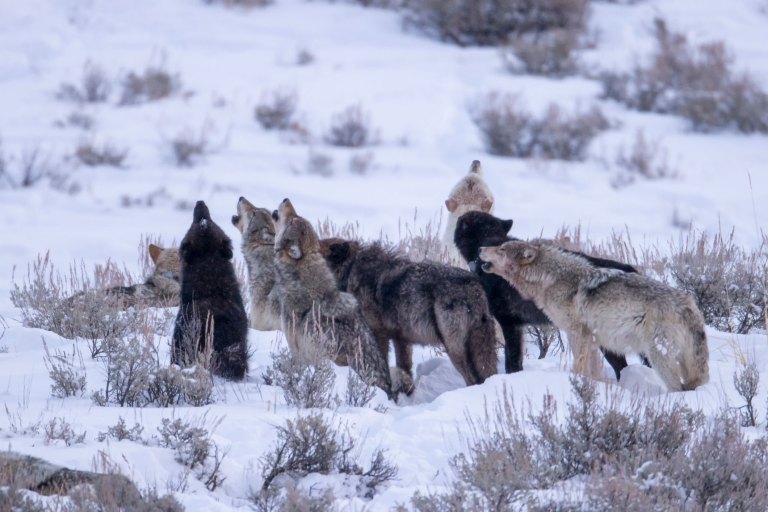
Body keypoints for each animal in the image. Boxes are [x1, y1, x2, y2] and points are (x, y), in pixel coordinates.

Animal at [320, 237, 498, 389]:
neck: (350, 270)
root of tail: (474, 286)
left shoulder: (378, 335)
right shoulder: (402, 340)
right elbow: (405, 370)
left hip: (454, 350)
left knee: (472, 380)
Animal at [479, 240, 709, 391]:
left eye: (501, 249)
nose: (481, 249)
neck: (550, 279)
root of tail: (689, 305)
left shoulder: (576, 334)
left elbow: (577, 366)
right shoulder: (591, 339)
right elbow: (590, 370)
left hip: (657, 357)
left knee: (678, 388)